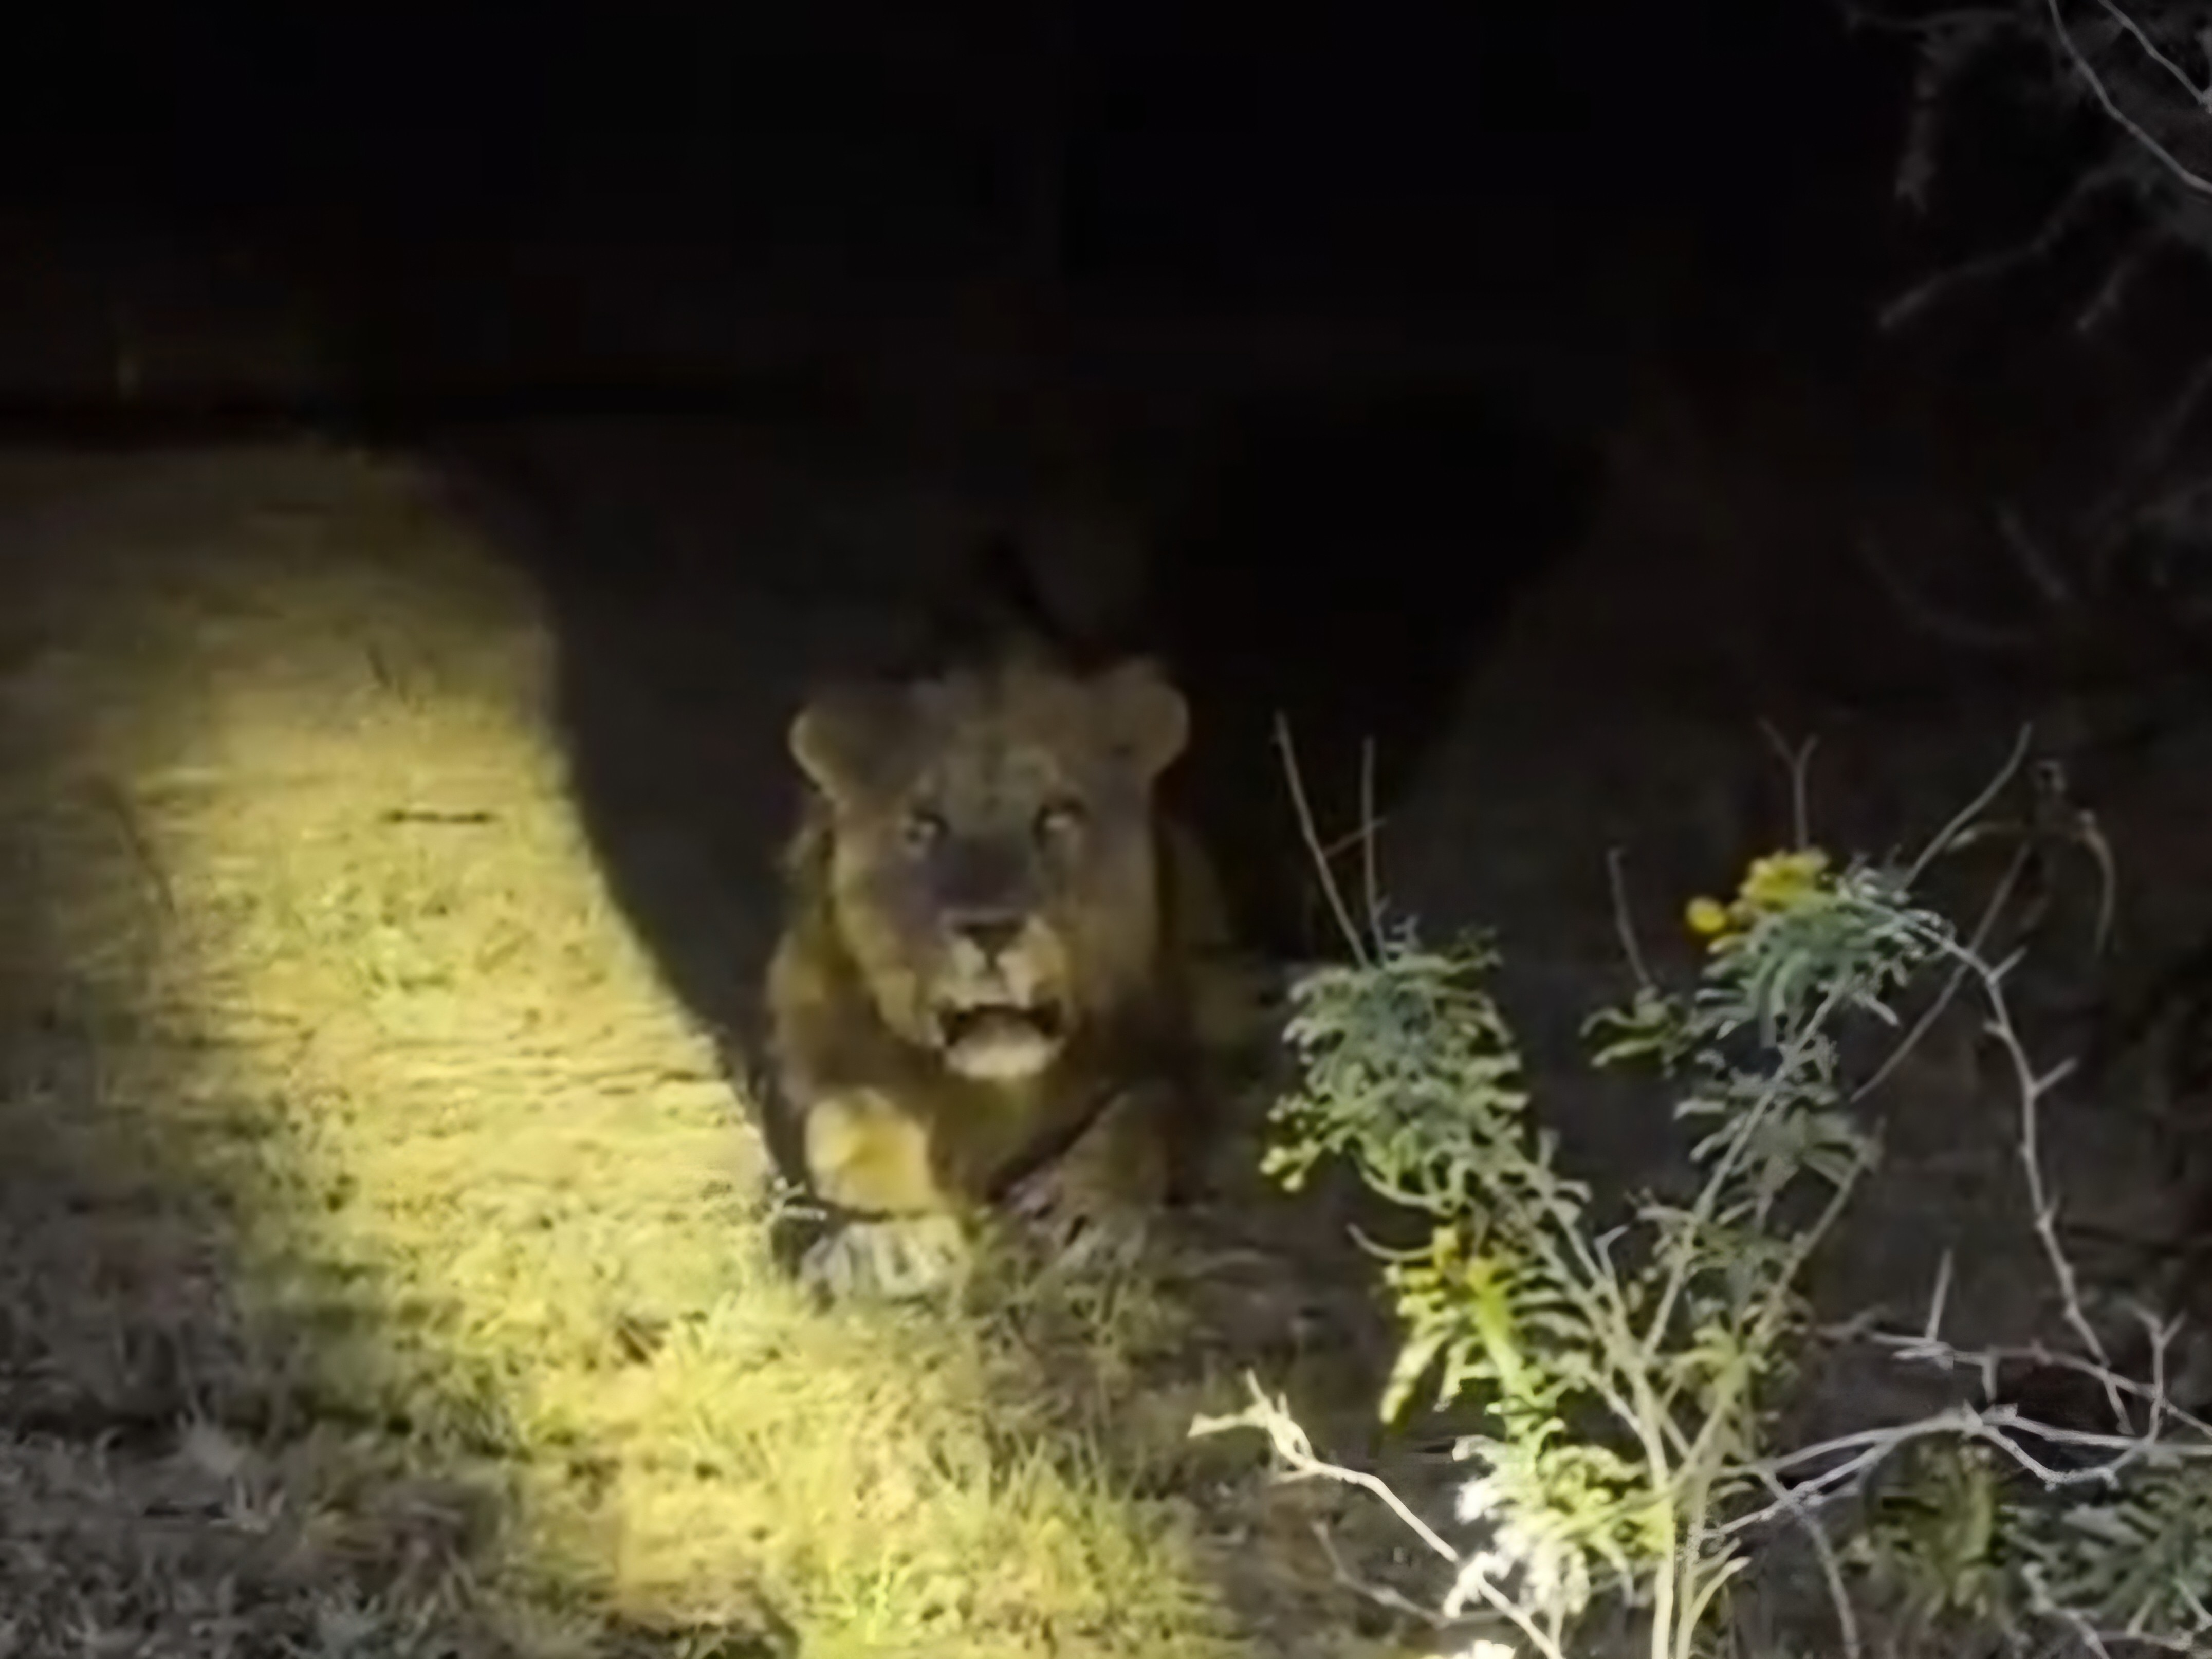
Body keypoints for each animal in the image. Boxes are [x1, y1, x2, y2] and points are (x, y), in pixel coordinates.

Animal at [762, 633, 1258, 1300]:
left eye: (1055, 817)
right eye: (927, 824)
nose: (990, 929)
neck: (999, 1091)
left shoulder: (1193, 1044)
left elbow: (1146, 1110)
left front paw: (1079, 1206)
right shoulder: (820, 1053)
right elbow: (850, 1122)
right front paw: (890, 1234)